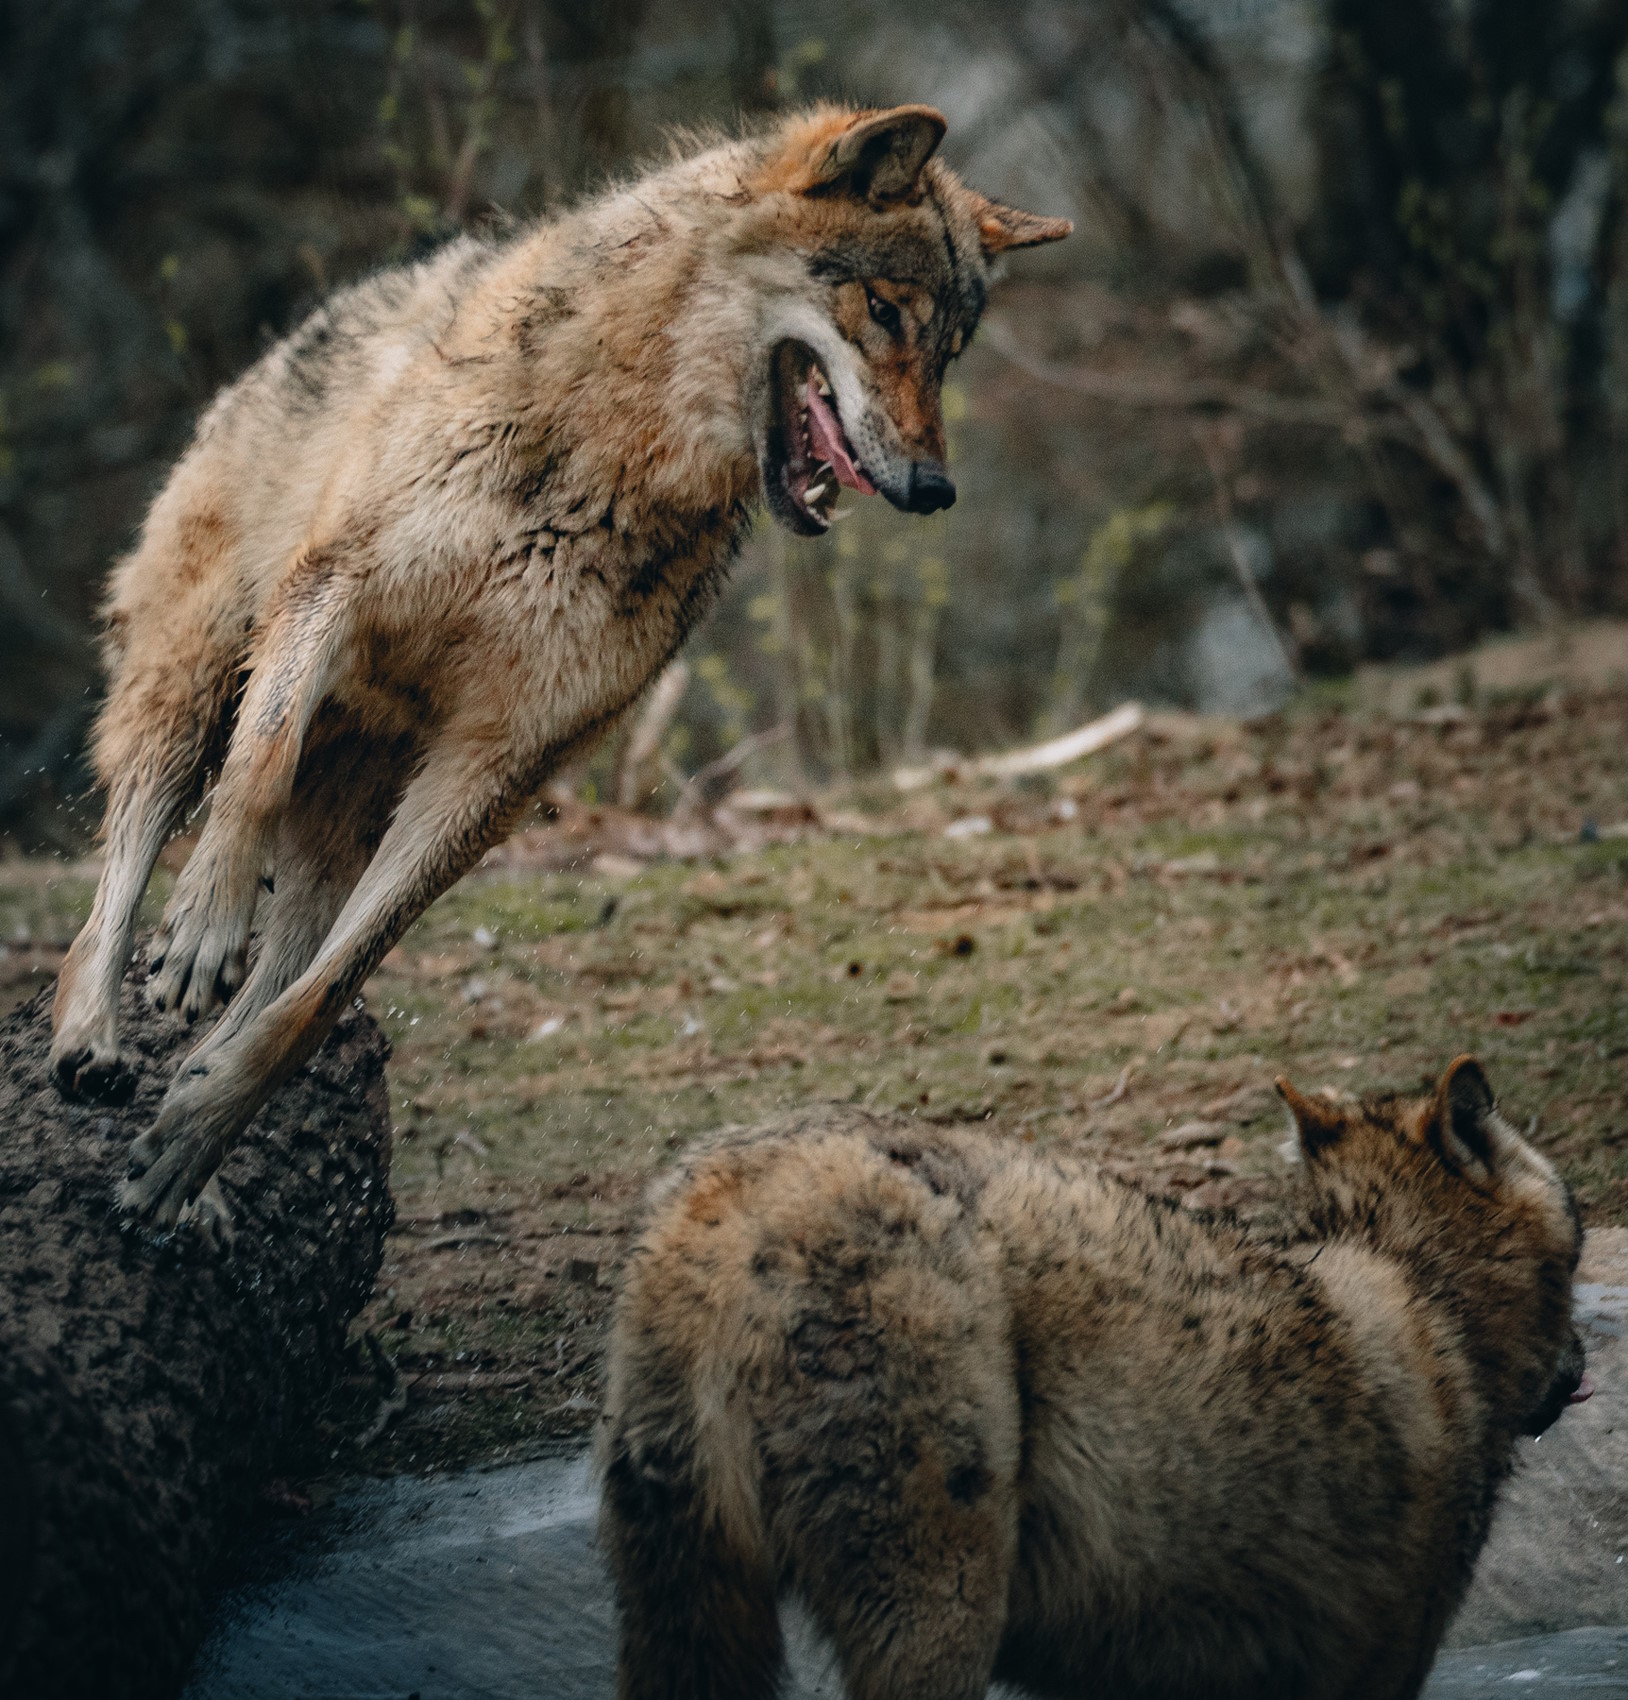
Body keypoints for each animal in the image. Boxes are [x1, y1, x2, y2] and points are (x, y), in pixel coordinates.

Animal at [46, 103, 1069, 1227]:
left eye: (951, 349)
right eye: (883, 312)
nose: (932, 488)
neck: (609, 452)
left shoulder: (500, 768)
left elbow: (324, 996)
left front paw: (195, 1134)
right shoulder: (333, 592)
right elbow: (257, 769)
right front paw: (201, 929)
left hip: (349, 820)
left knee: (288, 963)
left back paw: (192, 1142)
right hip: (189, 686)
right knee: (121, 870)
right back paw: (91, 1039)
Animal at [600, 1058, 1590, 1700]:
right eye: (1583, 1235)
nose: (1583, 1368)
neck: (1426, 1290)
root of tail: (734, 1193)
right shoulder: (1379, 1666)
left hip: (684, 1608)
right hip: (937, 1601)